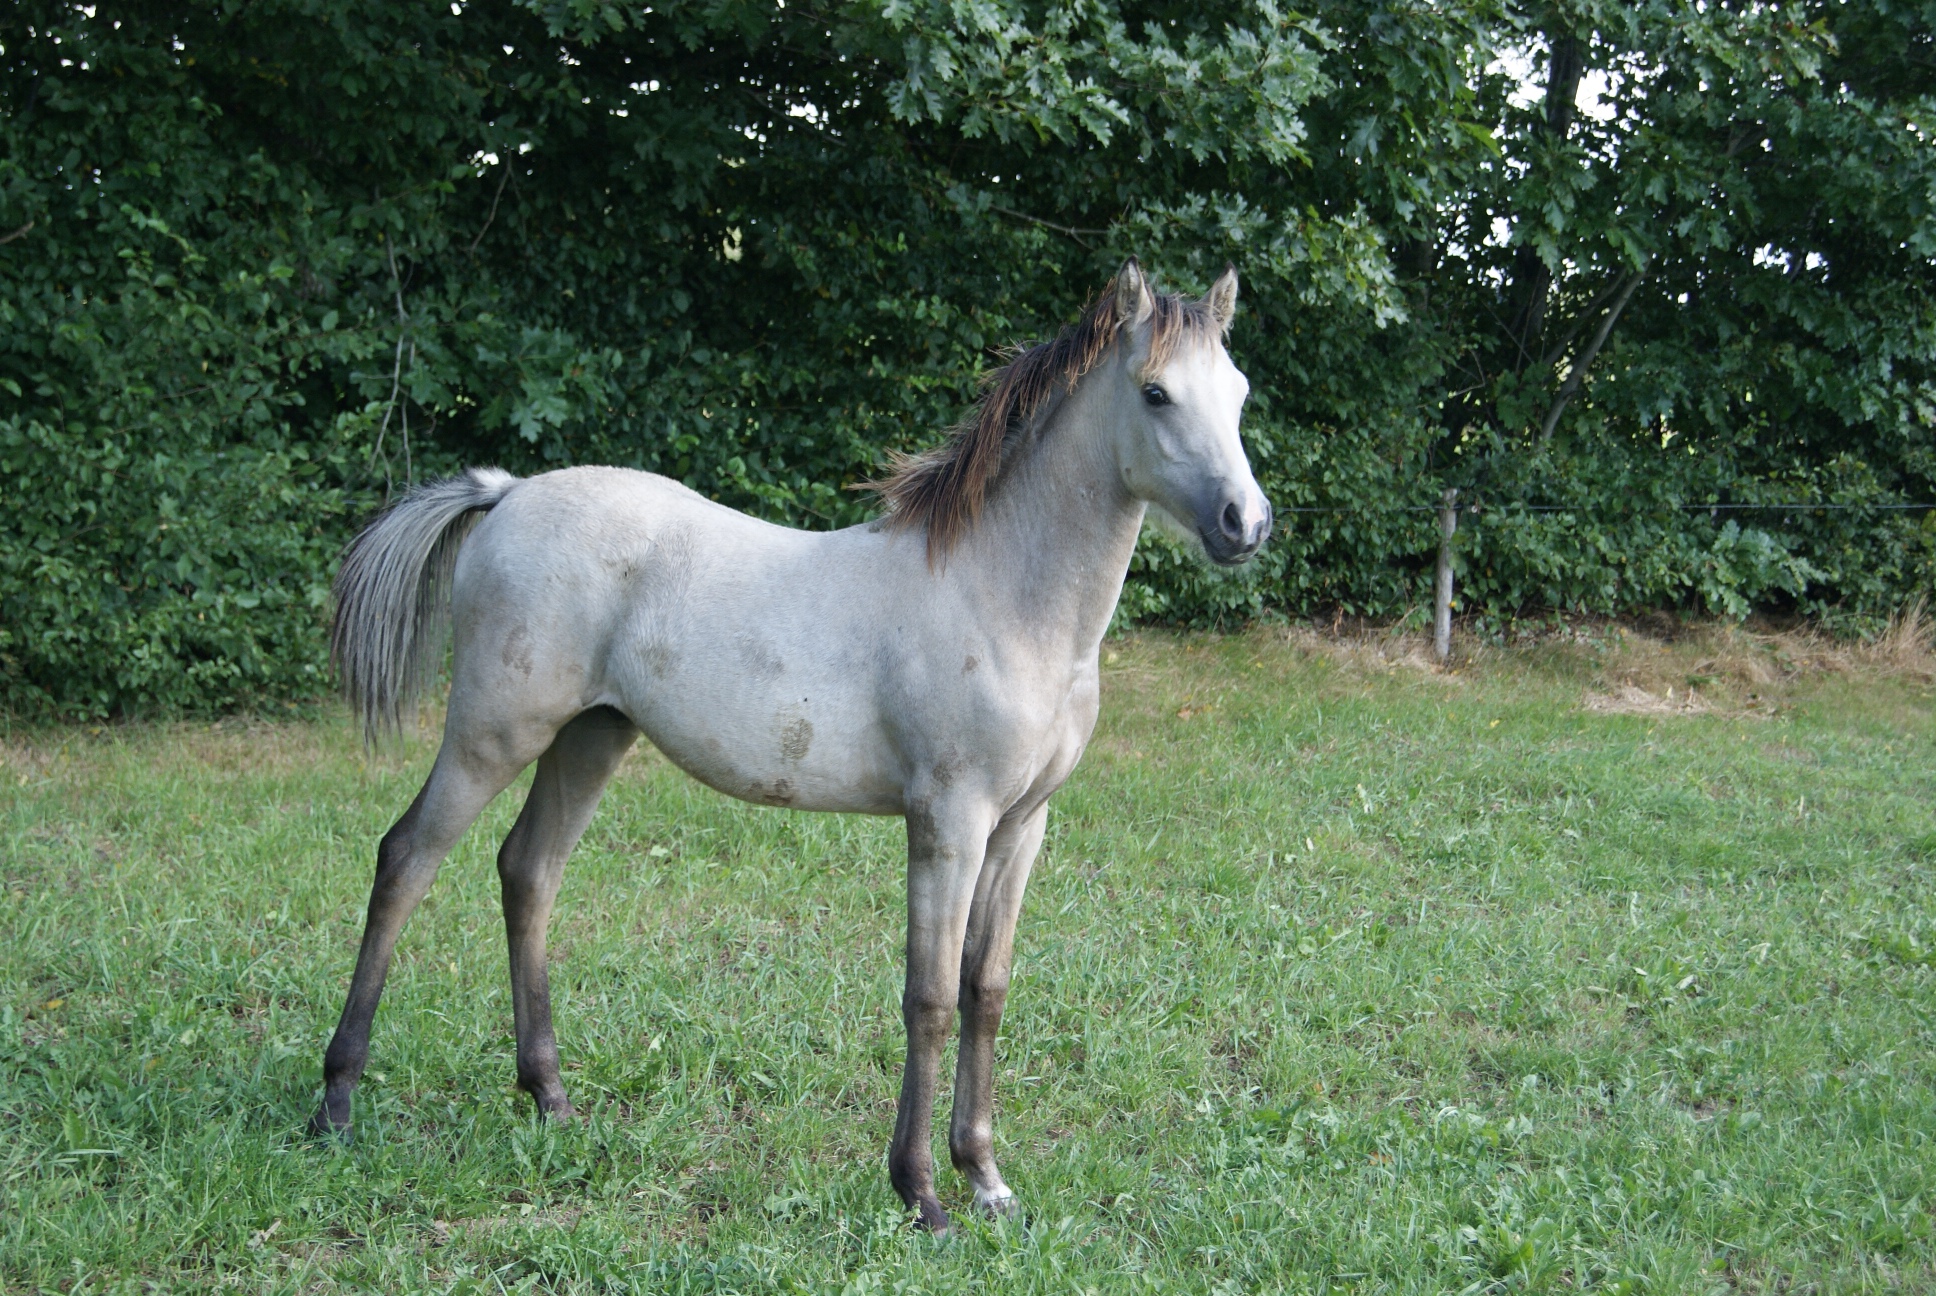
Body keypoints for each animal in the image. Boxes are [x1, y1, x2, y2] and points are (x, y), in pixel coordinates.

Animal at [313, 258, 1273, 1233]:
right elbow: (930, 998)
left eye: (1237, 391)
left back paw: (550, 1098)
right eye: (1154, 392)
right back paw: (336, 1107)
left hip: (590, 737)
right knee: (406, 861)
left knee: (528, 871)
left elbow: (986, 989)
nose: (1246, 524)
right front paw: (922, 1195)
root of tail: (507, 492)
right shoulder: (949, 822)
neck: (1002, 598)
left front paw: (986, 1178)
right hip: (491, 734)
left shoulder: (1021, 827)